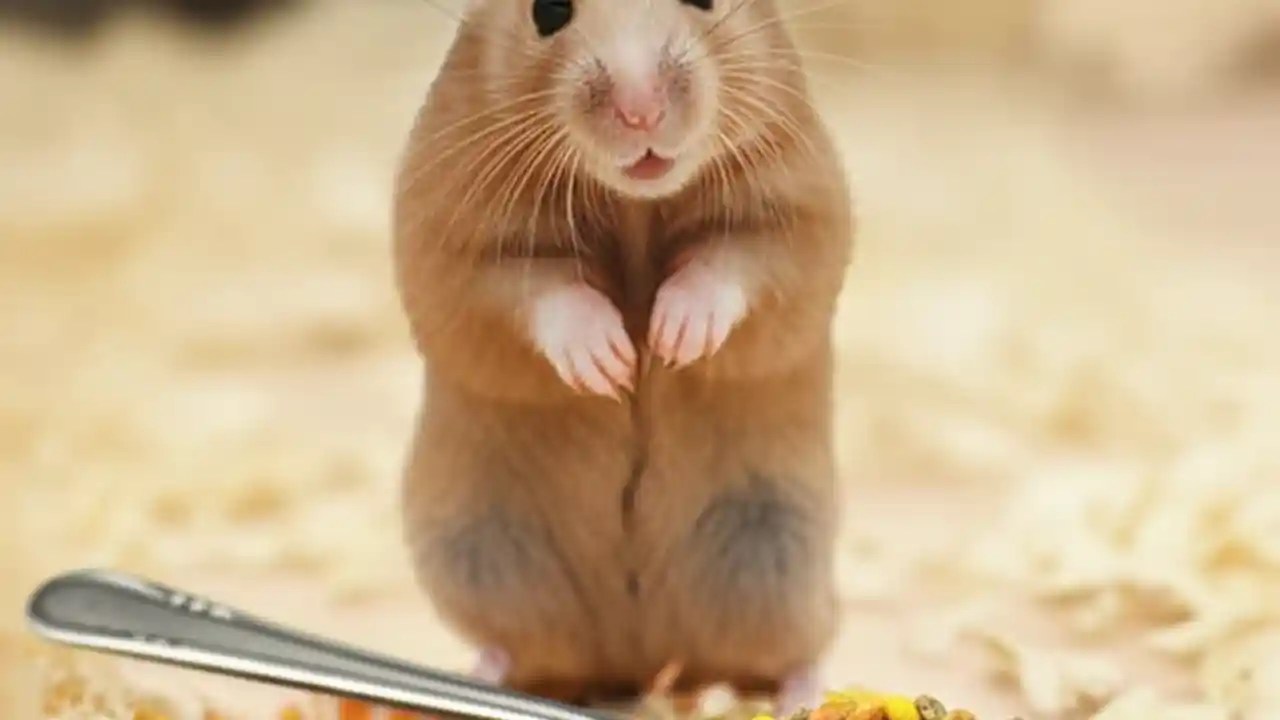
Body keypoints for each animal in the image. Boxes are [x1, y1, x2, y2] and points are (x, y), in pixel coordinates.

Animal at [393, 0, 853, 710]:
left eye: (707, 3)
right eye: (548, 13)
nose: (642, 114)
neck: (635, 202)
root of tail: (638, 663)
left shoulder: (799, 207)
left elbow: (735, 265)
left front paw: (668, 340)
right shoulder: (450, 234)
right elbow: (537, 293)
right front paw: (612, 365)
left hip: (776, 555)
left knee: (796, 648)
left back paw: (801, 700)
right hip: (479, 555)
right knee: (514, 646)